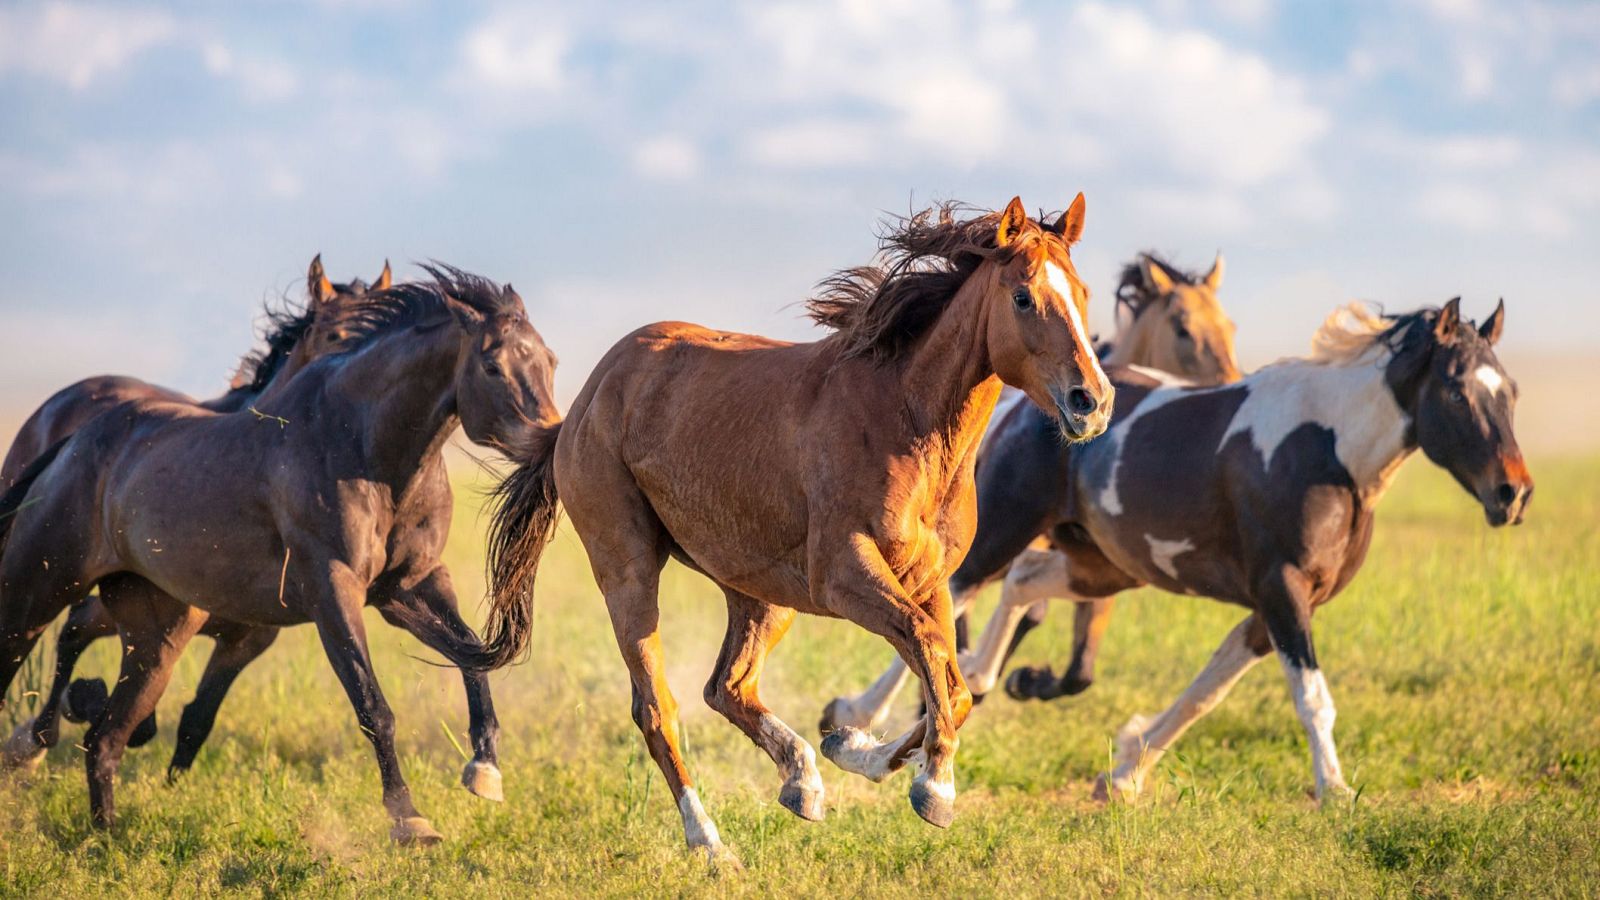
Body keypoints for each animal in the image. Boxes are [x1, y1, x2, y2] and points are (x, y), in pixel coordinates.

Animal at [472, 196, 1111, 865]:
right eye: (1023, 296)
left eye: (1083, 292)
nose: (1091, 401)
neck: (906, 424)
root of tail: (585, 401)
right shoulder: (843, 576)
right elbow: (932, 653)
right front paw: (933, 787)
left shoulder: (930, 580)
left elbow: (950, 679)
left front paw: (856, 748)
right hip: (629, 569)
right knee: (657, 708)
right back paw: (711, 844)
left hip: (761, 595)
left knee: (727, 687)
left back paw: (803, 780)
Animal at [821, 250, 1241, 734]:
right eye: (1183, 329)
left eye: (1229, 327)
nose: (1233, 381)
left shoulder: (1095, 560)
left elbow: (1078, 668)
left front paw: (1025, 680)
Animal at [891, 298, 1529, 802]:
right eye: (1456, 391)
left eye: (1512, 390)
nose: (1513, 492)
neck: (1328, 453)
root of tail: (1026, 403)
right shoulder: (1282, 590)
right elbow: (1312, 699)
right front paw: (1335, 790)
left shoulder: (1274, 606)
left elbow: (1207, 692)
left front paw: (1124, 772)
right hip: (1007, 528)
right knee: (945, 600)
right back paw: (876, 726)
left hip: (1102, 564)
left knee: (1020, 586)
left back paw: (981, 680)